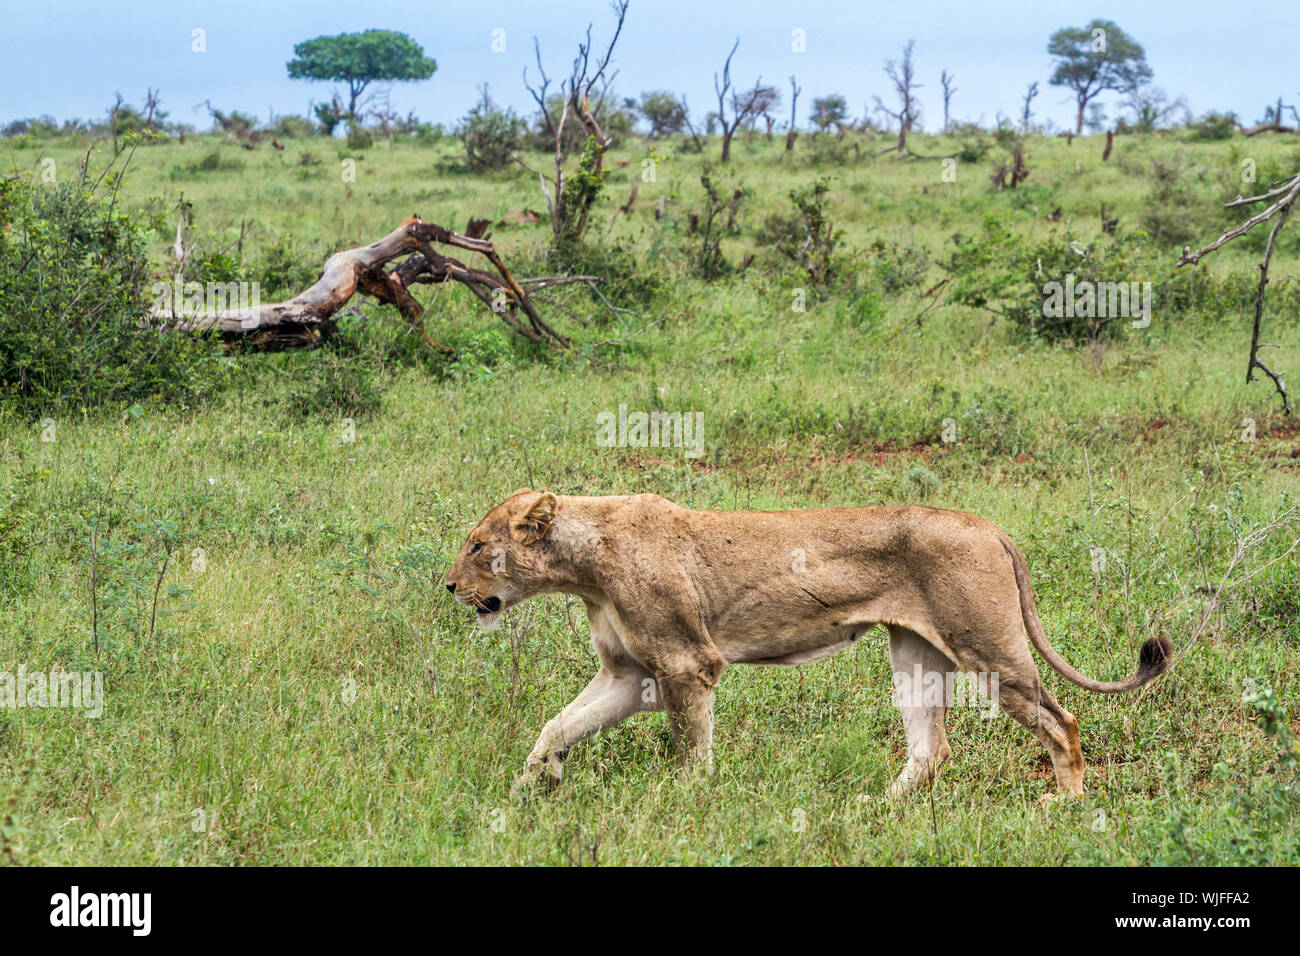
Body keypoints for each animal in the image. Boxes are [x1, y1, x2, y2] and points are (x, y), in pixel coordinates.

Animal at [444, 490, 1171, 798]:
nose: (448, 585)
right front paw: (530, 787)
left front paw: (687, 804)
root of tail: (986, 523)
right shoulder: (632, 675)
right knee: (931, 747)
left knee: (1060, 719)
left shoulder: (687, 664)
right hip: (915, 653)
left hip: (987, 646)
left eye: (478, 545)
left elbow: (692, 753)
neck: (583, 567)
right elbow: (555, 727)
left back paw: (1066, 805)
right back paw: (875, 808)